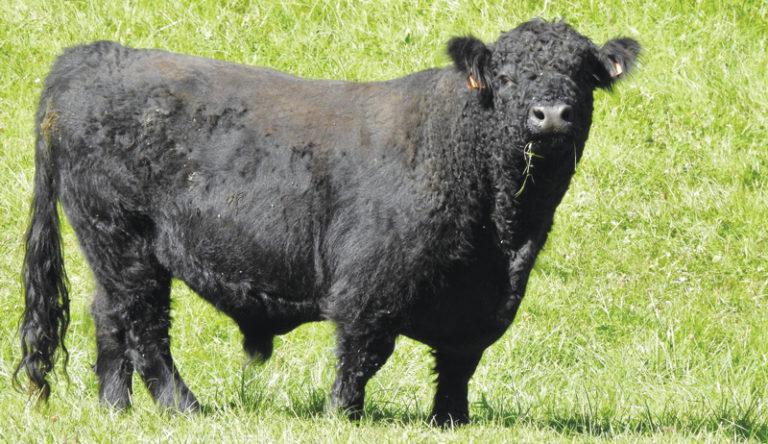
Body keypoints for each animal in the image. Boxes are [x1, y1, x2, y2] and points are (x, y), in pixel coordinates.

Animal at [16, 19, 639, 425]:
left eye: (583, 75)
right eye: (506, 77)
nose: (551, 114)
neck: (505, 231)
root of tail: (92, 56)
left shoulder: (486, 302)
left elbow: (458, 364)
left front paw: (451, 423)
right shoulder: (370, 284)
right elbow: (362, 356)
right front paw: (344, 417)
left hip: (110, 248)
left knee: (109, 318)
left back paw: (114, 410)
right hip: (125, 239)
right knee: (146, 328)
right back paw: (186, 409)